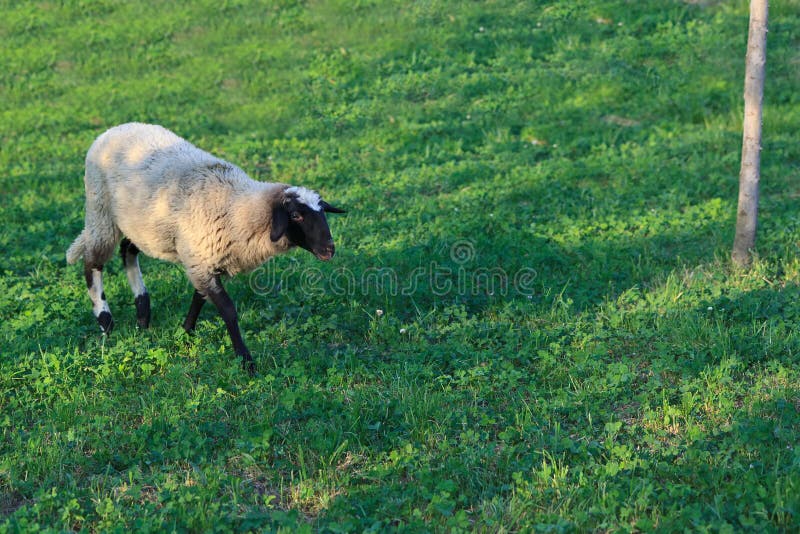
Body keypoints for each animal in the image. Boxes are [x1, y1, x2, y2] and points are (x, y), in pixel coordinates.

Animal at [66, 122, 345, 373]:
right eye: (296, 215)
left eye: (323, 212)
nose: (329, 250)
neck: (237, 208)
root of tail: (114, 129)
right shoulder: (200, 260)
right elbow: (228, 310)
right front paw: (246, 361)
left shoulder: (205, 261)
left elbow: (198, 298)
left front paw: (186, 330)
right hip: (100, 212)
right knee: (92, 263)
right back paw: (105, 321)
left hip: (142, 226)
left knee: (127, 250)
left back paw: (143, 314)